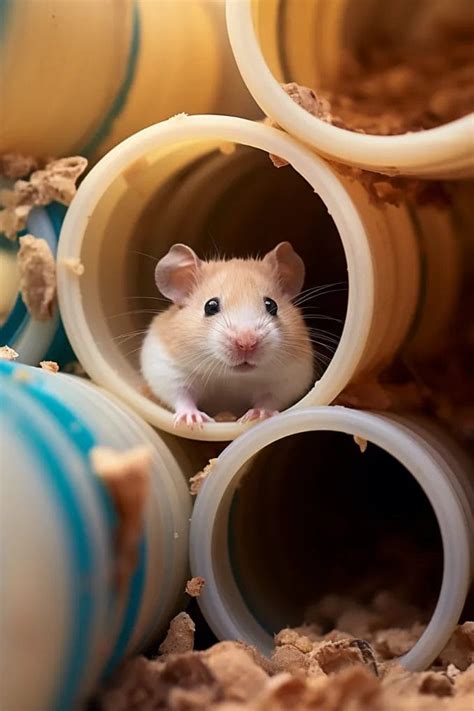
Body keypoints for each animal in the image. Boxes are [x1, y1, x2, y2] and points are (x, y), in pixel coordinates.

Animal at [140, 242, 314, 427]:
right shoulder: (168, 370)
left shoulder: (287, 380)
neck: (231, 377)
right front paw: (193, 421)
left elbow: (269, 399)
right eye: (210, 306)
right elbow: (182, 396)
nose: (247, 343)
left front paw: (258, 415)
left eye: (271, 305)